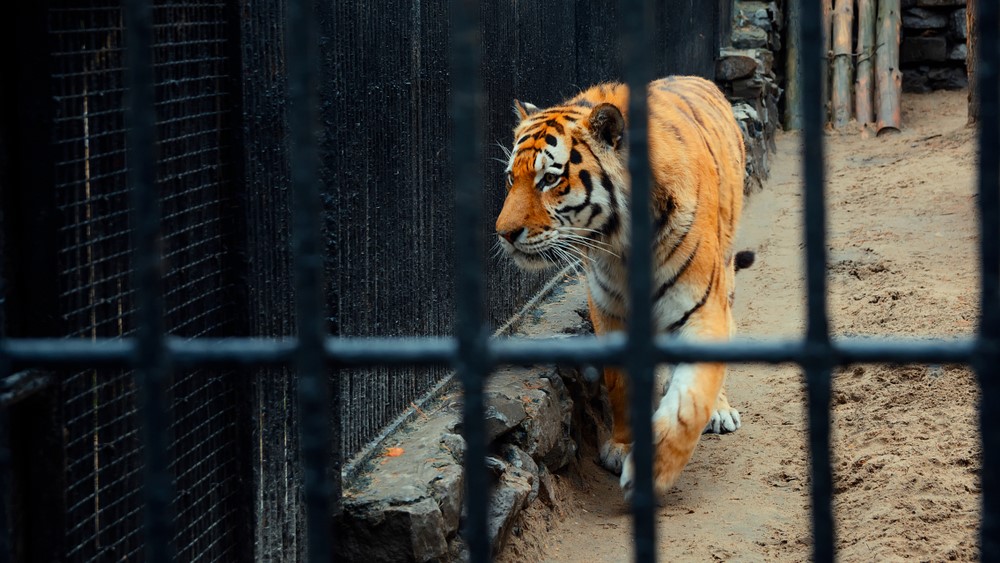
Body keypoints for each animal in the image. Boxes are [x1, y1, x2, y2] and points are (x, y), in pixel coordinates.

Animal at [494, 76, 751, 499]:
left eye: (549, 178)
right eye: (511, 178)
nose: (504, 234)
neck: (621, 245)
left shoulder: (701, 308)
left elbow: (690, 403)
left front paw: (654, 469)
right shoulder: (609, 309)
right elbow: (621, 385)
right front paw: (621, 445)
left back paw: (720, 409)